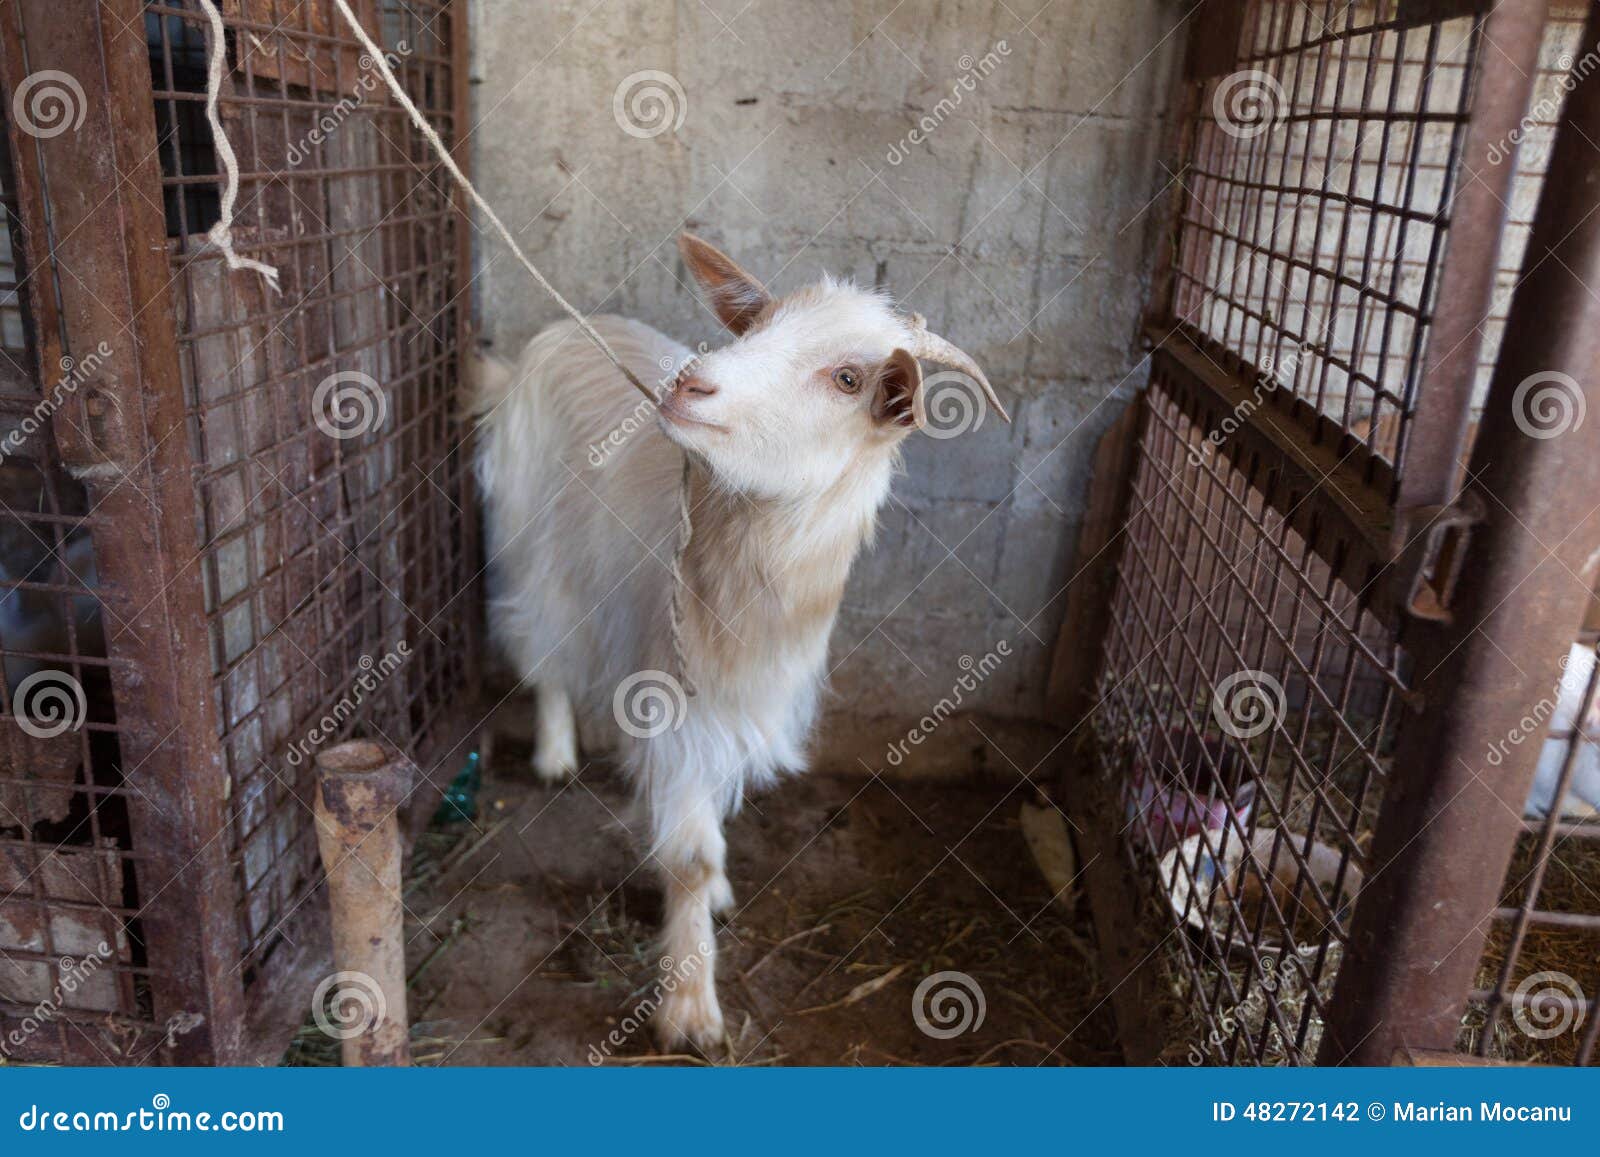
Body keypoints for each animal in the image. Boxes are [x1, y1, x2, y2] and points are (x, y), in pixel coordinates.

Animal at [472, 233, 1006, 1049]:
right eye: (755, 328)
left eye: (849, 377)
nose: (690, 384)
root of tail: (555, 335)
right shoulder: (680, 702)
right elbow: (689, 857)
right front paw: (690, 1012)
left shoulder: (740, 704)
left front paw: (718, 896)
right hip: (532, 533)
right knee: (545, 643)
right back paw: (555, 752)